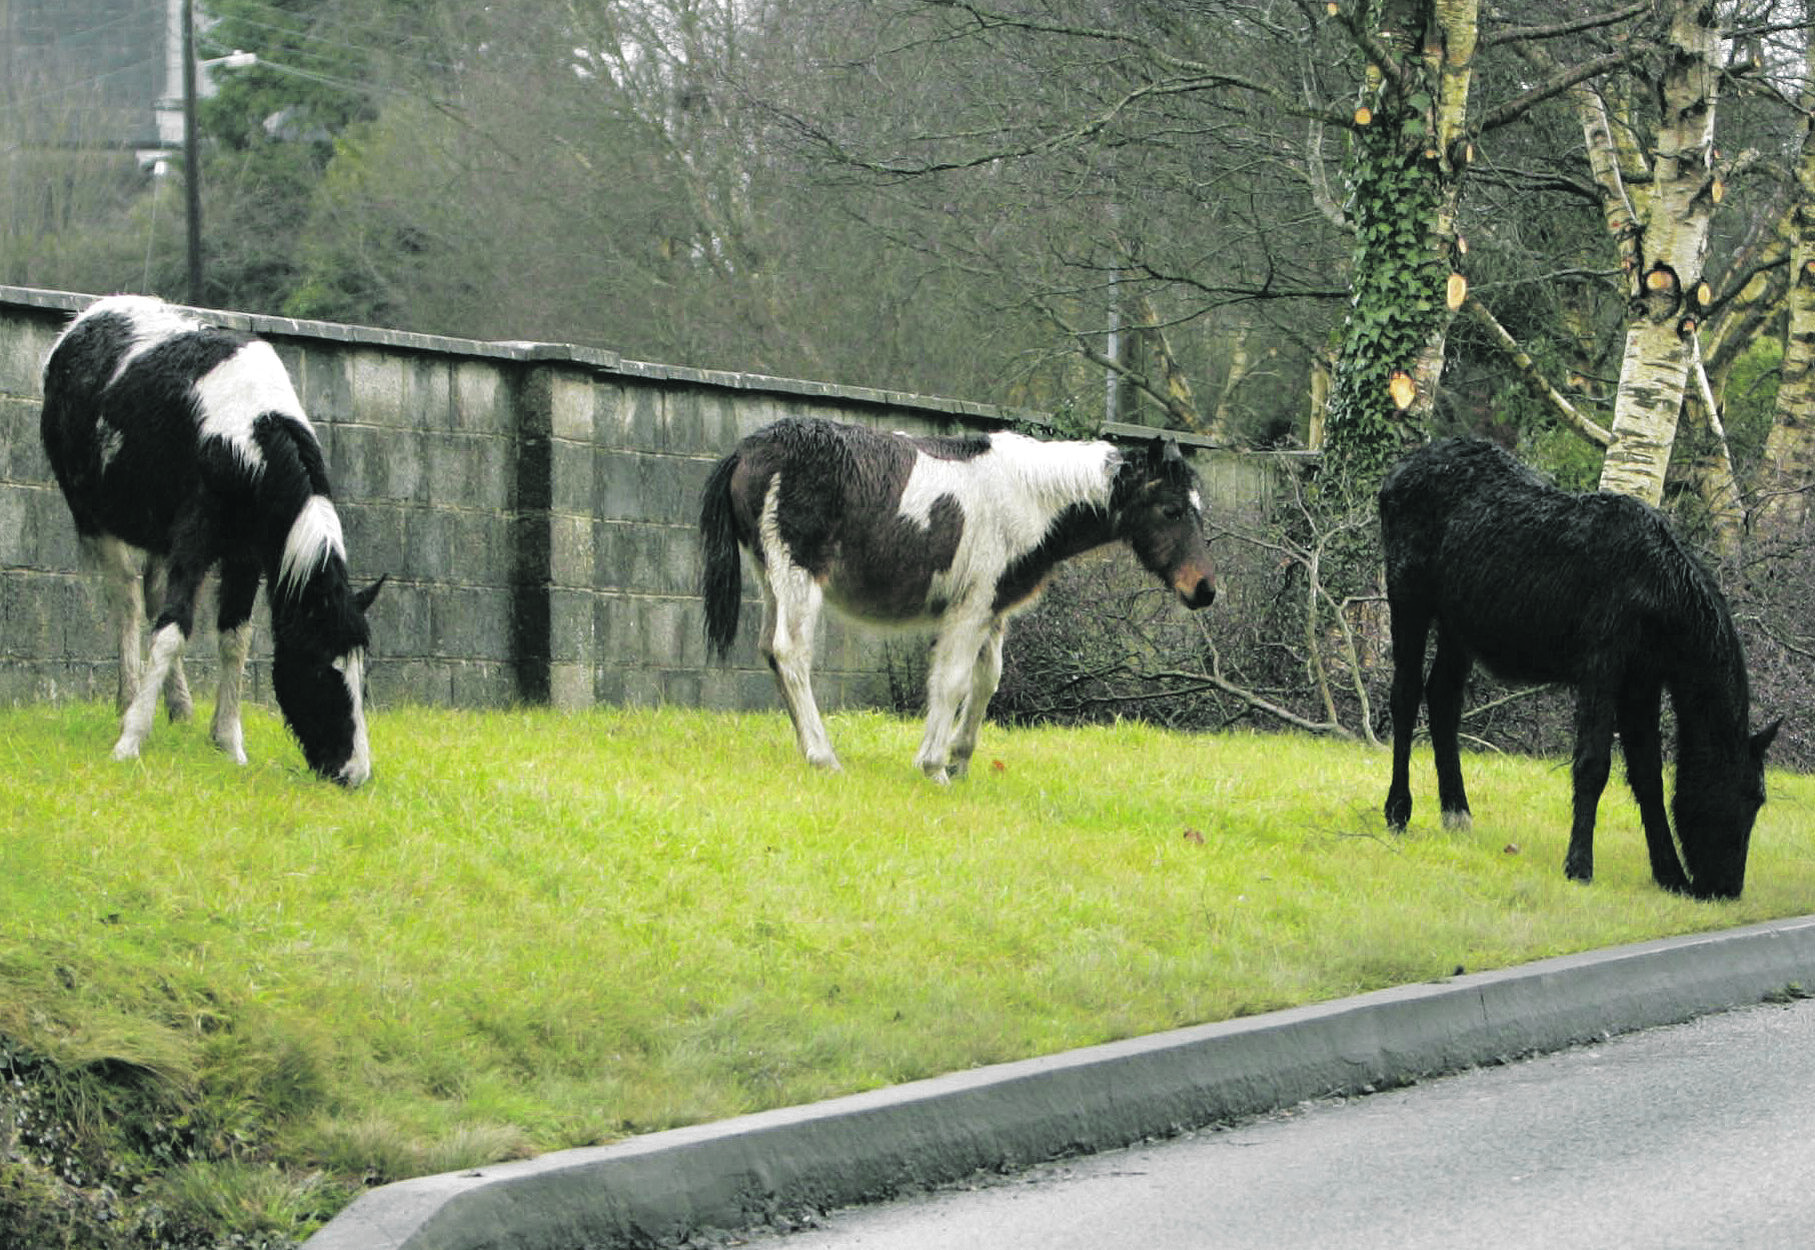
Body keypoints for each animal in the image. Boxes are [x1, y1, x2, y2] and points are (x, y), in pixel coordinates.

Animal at [40, 295, 383, 787]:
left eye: (362, 677)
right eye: (322, 670)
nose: (353, 772)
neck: (248, 440)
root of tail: (86, 319)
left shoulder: (245, 555)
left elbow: (233, 636)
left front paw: (228, 743)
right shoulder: (194, 536)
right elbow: (172, 631)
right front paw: (130, 741)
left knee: (151, 595)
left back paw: (178, 706)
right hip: (94, 515)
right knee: (126, 599)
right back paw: (128, 701)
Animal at [699, 416, 1216, 780]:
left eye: (1197, 509)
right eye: (1171, 510)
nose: (1204, 589)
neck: (1028, 497)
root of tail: (746, 450)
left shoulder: (993, 610)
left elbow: (986, 681)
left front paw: (960, 761)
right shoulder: (969, 609)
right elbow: (950, 682)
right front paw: (933, 767)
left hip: (771, 577)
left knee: (771, 651)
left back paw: (808, 748)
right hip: (797, 576)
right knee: (791, 653)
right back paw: (824, 757)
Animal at [1378, 438, 1778, 899]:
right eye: (1748, 795)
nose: (1727, 886)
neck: (1665, 604)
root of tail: (1393, 476)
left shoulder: (1642, 679)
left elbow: (1648, 775)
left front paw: (1670, 873)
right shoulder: (1602, 663)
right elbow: (1592, 764)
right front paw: (1579, 864)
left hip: (1459, 623)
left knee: (1443, 697)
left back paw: (1457, 812)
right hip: (1408, 595)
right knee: (1405, 694)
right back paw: (1398, 810)